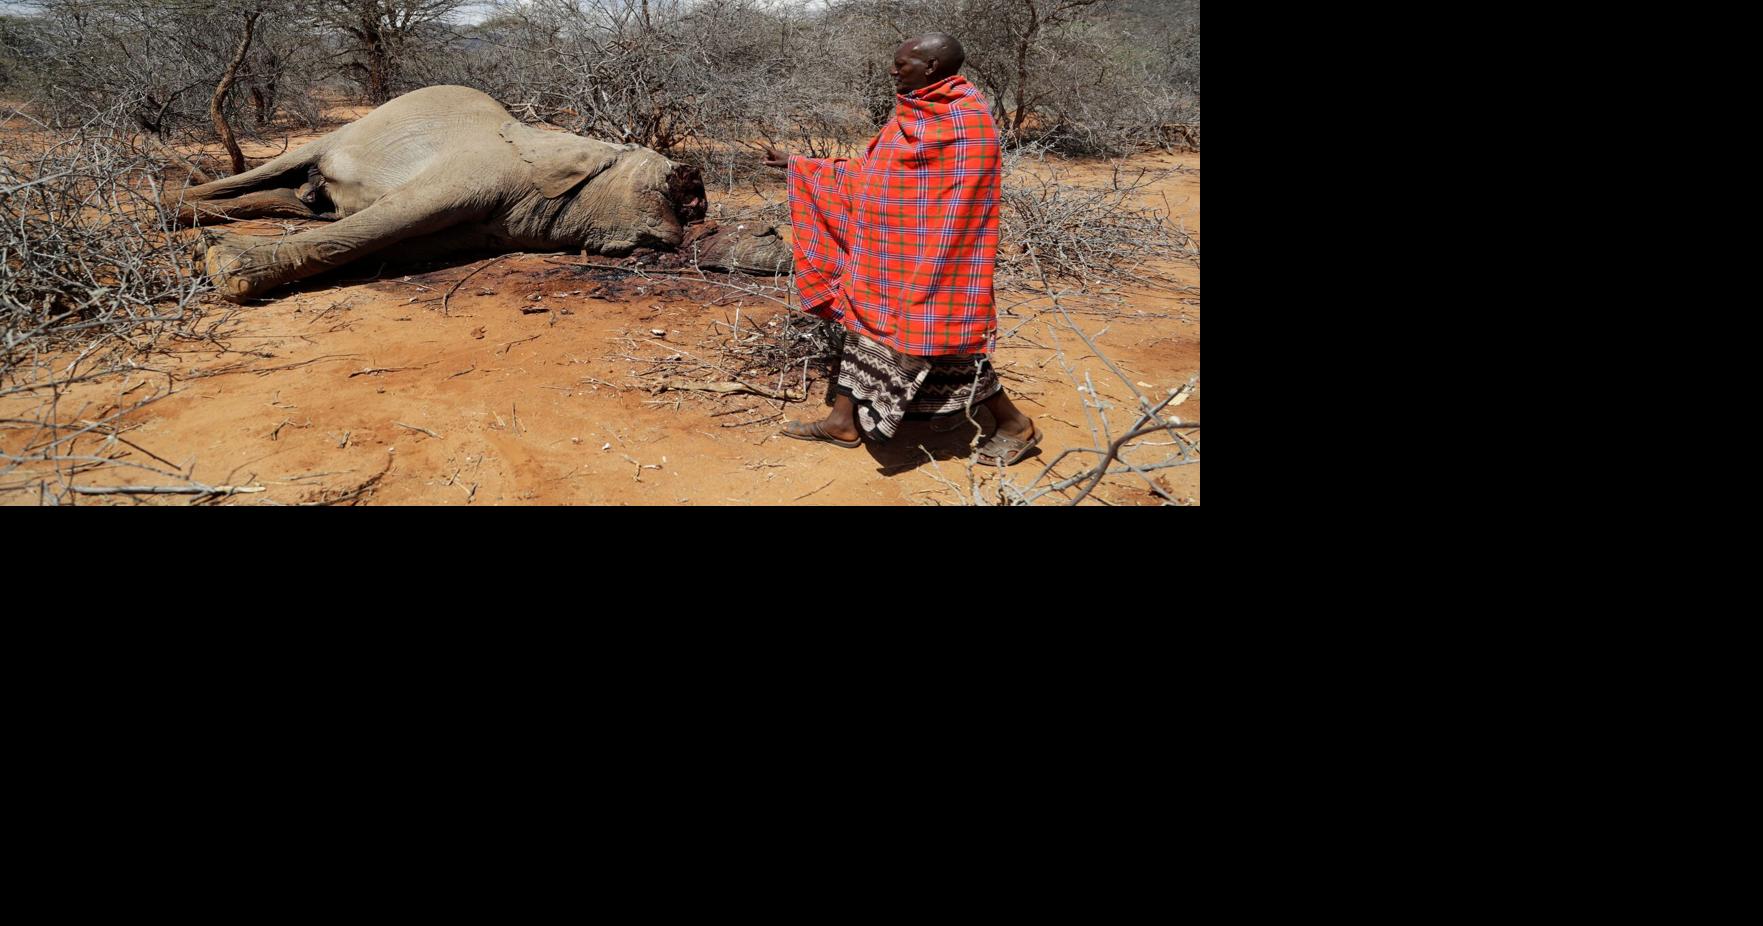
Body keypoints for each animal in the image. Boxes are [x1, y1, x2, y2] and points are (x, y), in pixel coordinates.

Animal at [172, 85, 791, 302]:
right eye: (674, 183)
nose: (698, 196)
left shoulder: (498, 223)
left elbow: (397, 241)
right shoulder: (484, 171)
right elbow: (393, 217)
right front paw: (223, 270)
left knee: (299, 200)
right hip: (348, 128)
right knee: (283, 170)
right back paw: (173, 212)